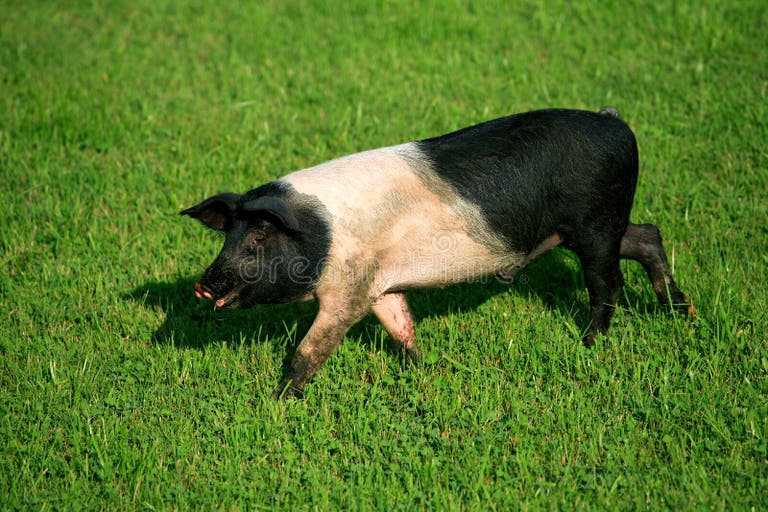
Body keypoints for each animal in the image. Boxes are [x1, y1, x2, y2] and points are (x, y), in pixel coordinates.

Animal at [181, 107, 693, 399]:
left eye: (256, 241)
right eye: (227, 238)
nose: (202, 285)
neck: (320, 235)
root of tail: (614, 121)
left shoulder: (348, 289)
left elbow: (311, 350)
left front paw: (278, 401)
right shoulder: (379, 284)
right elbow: (401, 325)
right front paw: (420, 370)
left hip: (594, 223)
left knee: (607, 281)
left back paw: (588, 343)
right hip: (599, 225)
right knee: (647, 235)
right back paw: (681, 310)